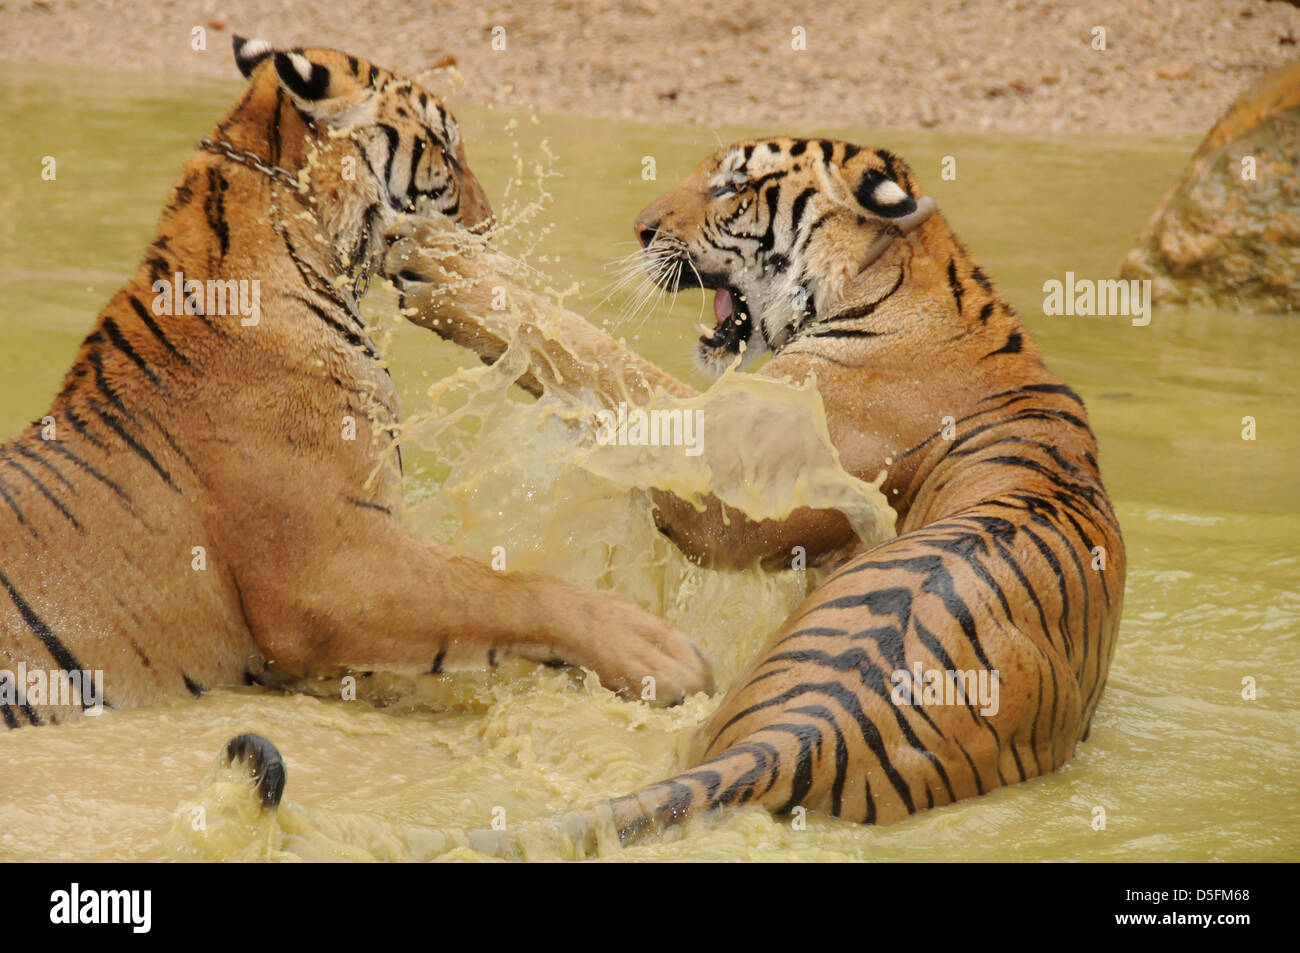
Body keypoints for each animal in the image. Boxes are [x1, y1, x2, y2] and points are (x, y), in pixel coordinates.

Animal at [353, 135, 1127, 852]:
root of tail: (797, 738)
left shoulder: (725, 485)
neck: (899, 275)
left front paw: (444, 268)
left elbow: (598, 353)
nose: (640, 228)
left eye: (732, 186)